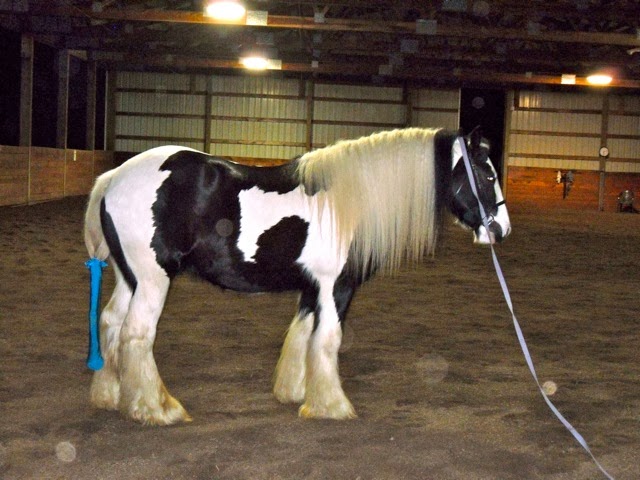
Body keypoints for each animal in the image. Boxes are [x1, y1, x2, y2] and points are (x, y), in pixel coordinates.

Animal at [83, 127, 511, 425]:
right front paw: (332, 405)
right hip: (153, 280)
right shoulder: (336, 286)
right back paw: (155, 409)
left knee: (111, 321)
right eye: (487, 176)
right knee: (136, 333)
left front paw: (297, 392)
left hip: (130, 278)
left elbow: (303, 335)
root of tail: (115, 176)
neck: (349, 201)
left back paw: (110, 395)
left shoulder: (313, 288)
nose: (501, 230)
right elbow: (328, 339)